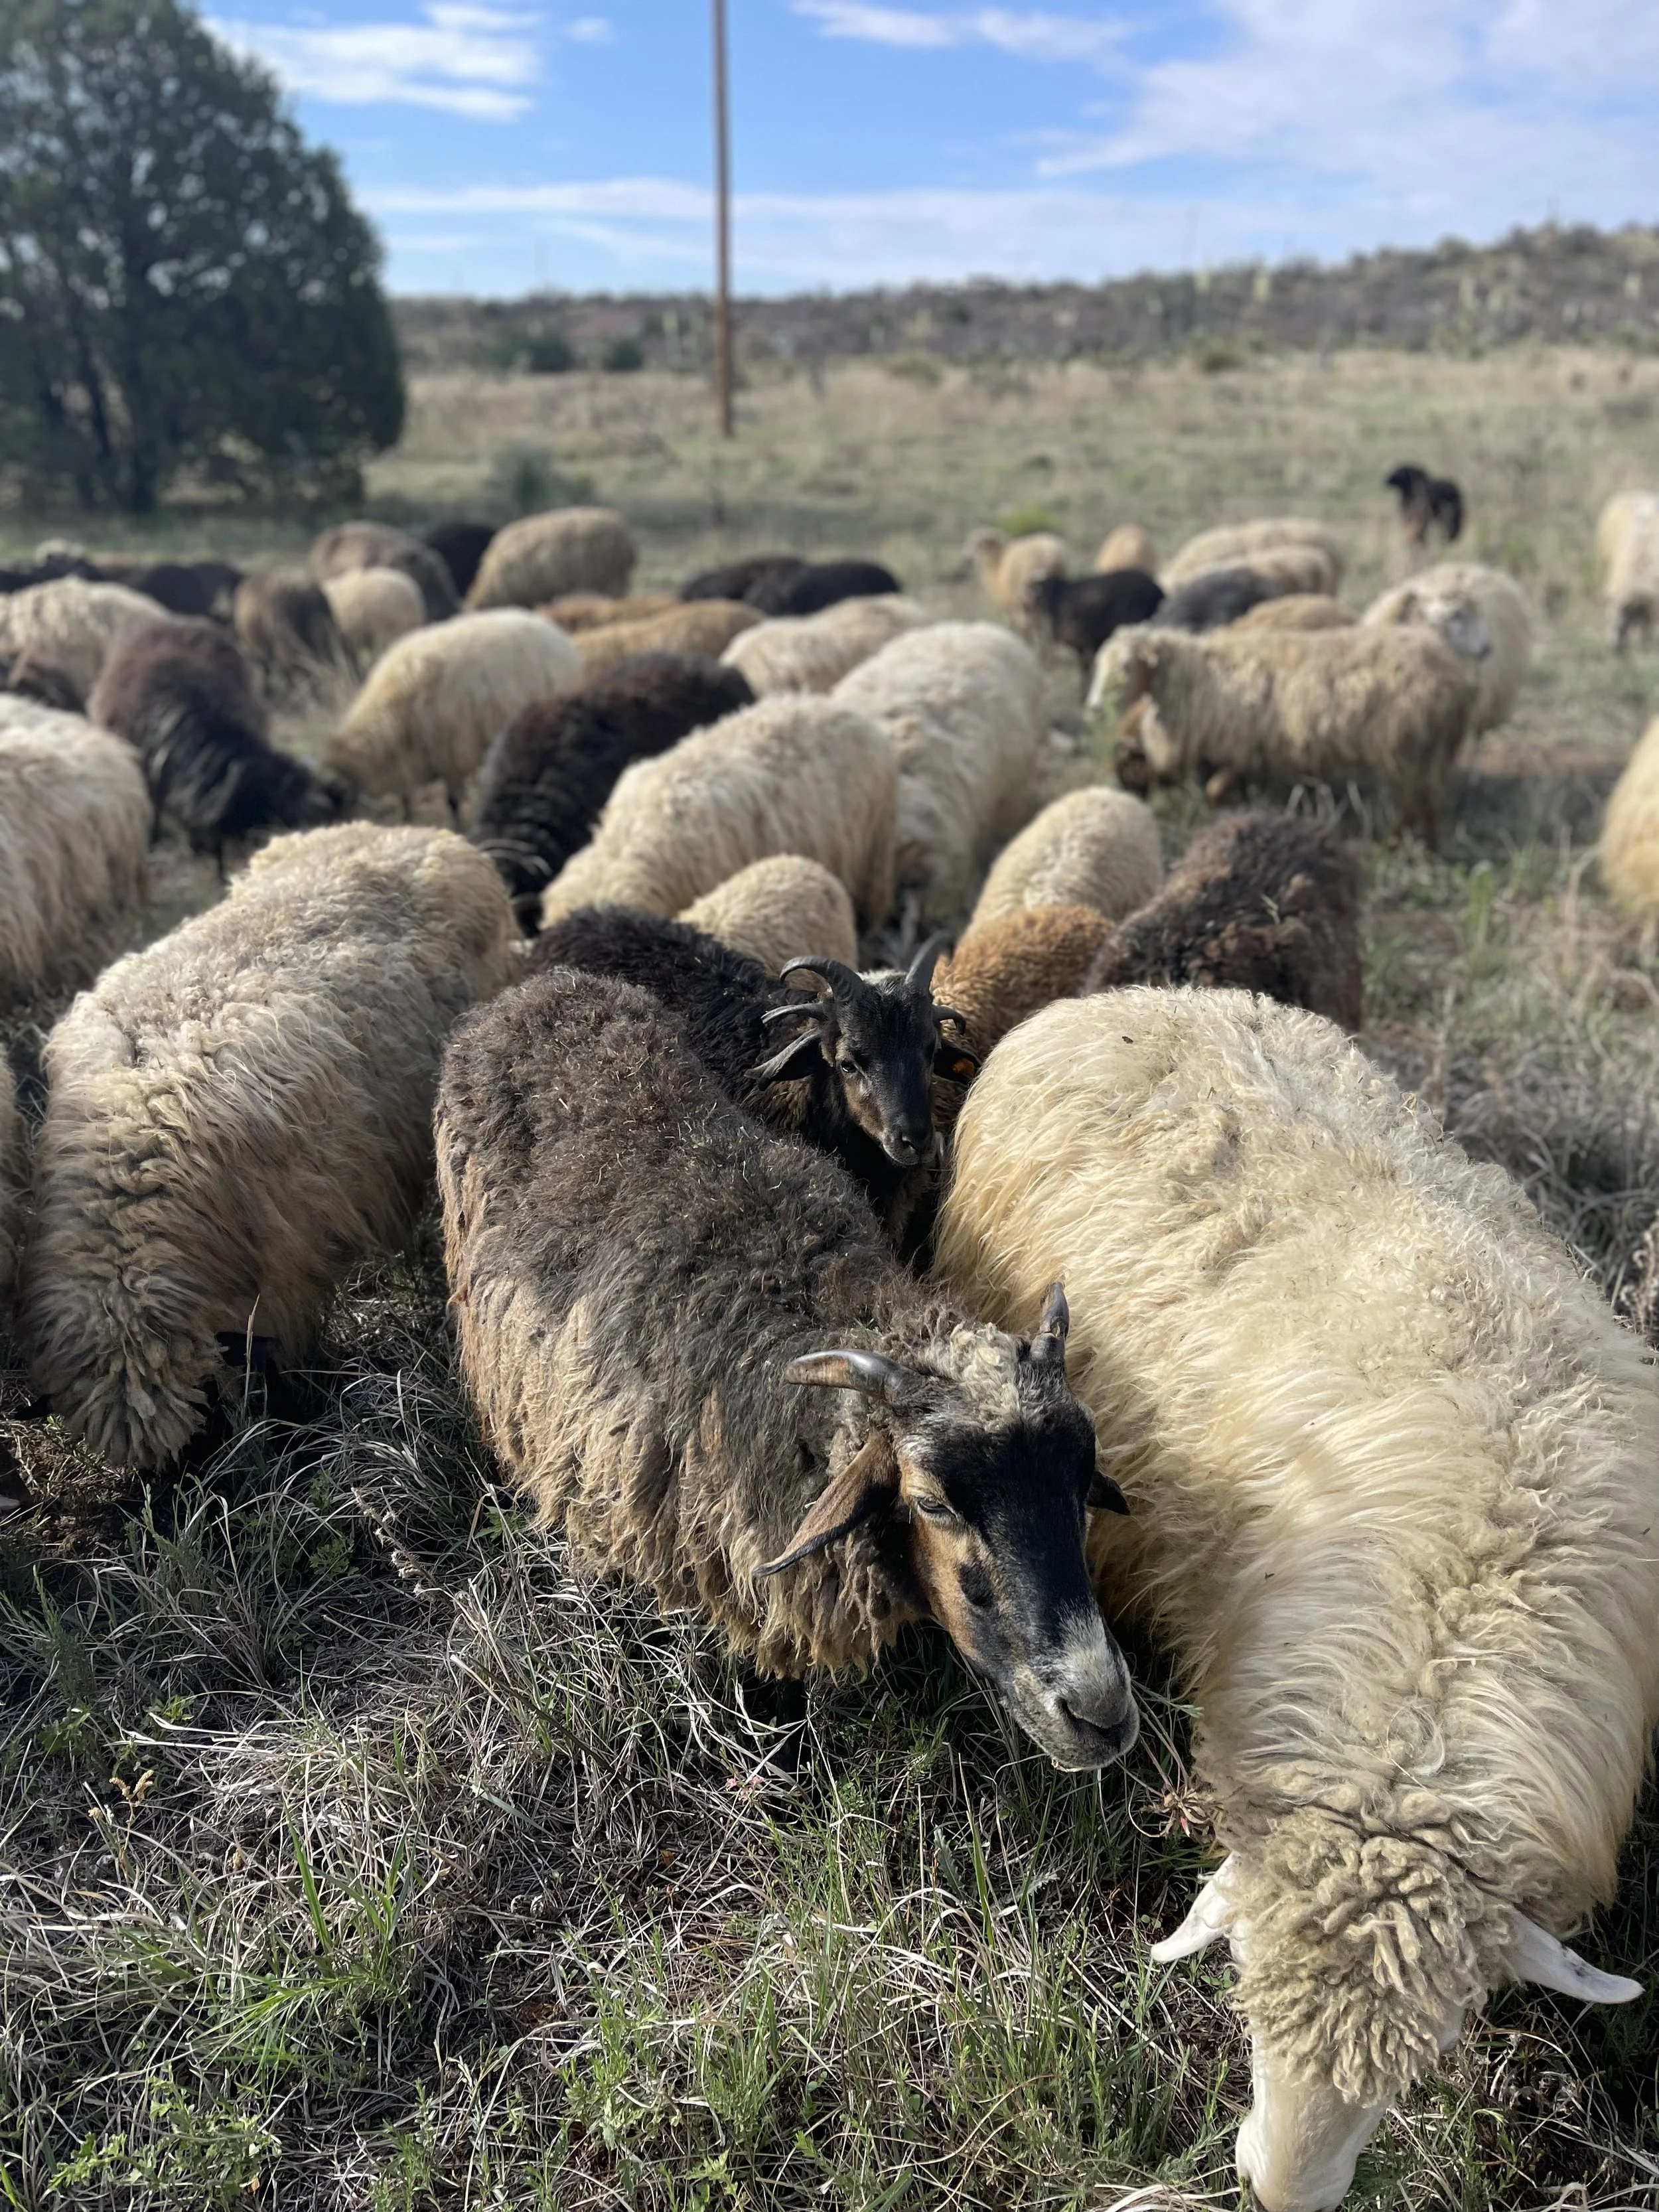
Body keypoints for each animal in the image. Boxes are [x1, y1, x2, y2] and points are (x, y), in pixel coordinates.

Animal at [324, 609, 581, 821]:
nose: (344, 820)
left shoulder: (451, 755)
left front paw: (457, 825)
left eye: (341, 793)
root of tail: (558, 636)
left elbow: (453, 801)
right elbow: (408, 797)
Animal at [965, 528, 1069, 631]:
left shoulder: (1012, 606)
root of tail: (1050, 555)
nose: (966, 555)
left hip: (1027, 595)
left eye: (978, 545)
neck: (998, 564)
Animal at [1029, 569, 1165, 683]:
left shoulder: (1083, 644)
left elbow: (1085, 671)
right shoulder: (1089, 644)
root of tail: (1158, 590)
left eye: (1039, 590)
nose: (1028, 606)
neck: (1058, 597)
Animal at [1111, 624, 1476, 846]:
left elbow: (1215, 790)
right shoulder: (1247, 750)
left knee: (1416, 804)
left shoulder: (1241, 746)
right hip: (1428, 754)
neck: (1195, 677)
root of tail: (1456, 680)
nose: (1125, 793)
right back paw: (1429, 848)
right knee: (1431, 802)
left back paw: (1394, 846)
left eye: (1129, 664)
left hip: (1404, 751)